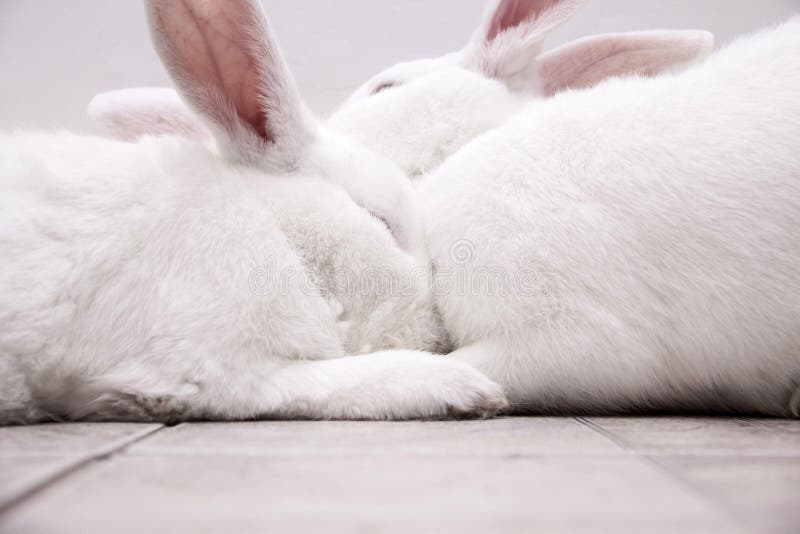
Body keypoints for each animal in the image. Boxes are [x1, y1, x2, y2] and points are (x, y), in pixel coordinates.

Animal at [0, 0, 508, 425]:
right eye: (380, 220)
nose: (440, 335)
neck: (274, 230)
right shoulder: (211, 368)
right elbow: (332, 381)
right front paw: (466, 389)